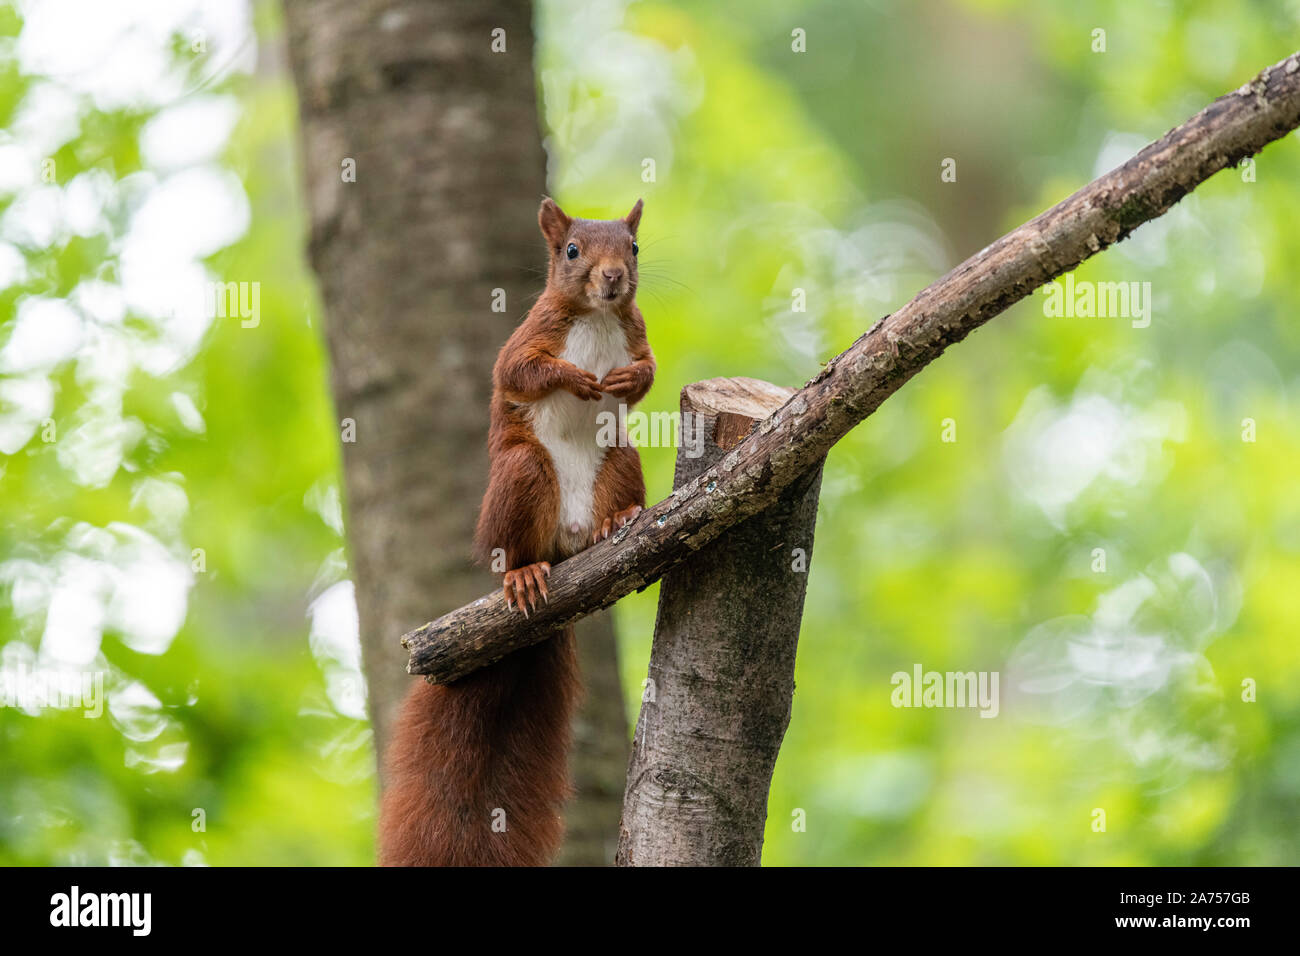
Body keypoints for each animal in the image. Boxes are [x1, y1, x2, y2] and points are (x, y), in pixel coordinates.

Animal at [377, 198, 654, 866]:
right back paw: (525, 573)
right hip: (523, 475)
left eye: (633, 248)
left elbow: (650, 370)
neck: (596, 319)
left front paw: (625, 383)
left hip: (620, 459)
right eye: (572, 251)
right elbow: (518, 370)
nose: (613, 278)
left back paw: (618, 521)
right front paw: (575, 379)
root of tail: (566, 546)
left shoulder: (636, 333)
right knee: (519, 546)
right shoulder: (531, 334)